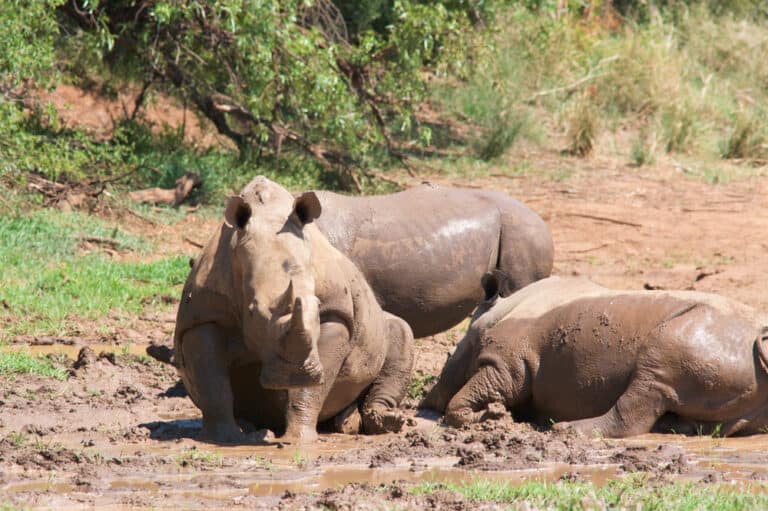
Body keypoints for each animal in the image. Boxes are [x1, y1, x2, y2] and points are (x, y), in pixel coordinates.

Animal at [174, 176, 414, 443]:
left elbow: (312, 388)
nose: (296, 374)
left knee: (401, 330)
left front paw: (297, 440)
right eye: (252, 311)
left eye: (317, 305)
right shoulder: (203, 315)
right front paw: (225, 438)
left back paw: (378, 423)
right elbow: (212, 380)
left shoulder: (335, 314)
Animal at [421, 276, 768, 438]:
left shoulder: (506, 362)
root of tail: (757, 337)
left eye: (449, 357)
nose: (426, 401)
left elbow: (466, 400)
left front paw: (490, 418)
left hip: (691, 337)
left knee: (650, 379)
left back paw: (563, 430)